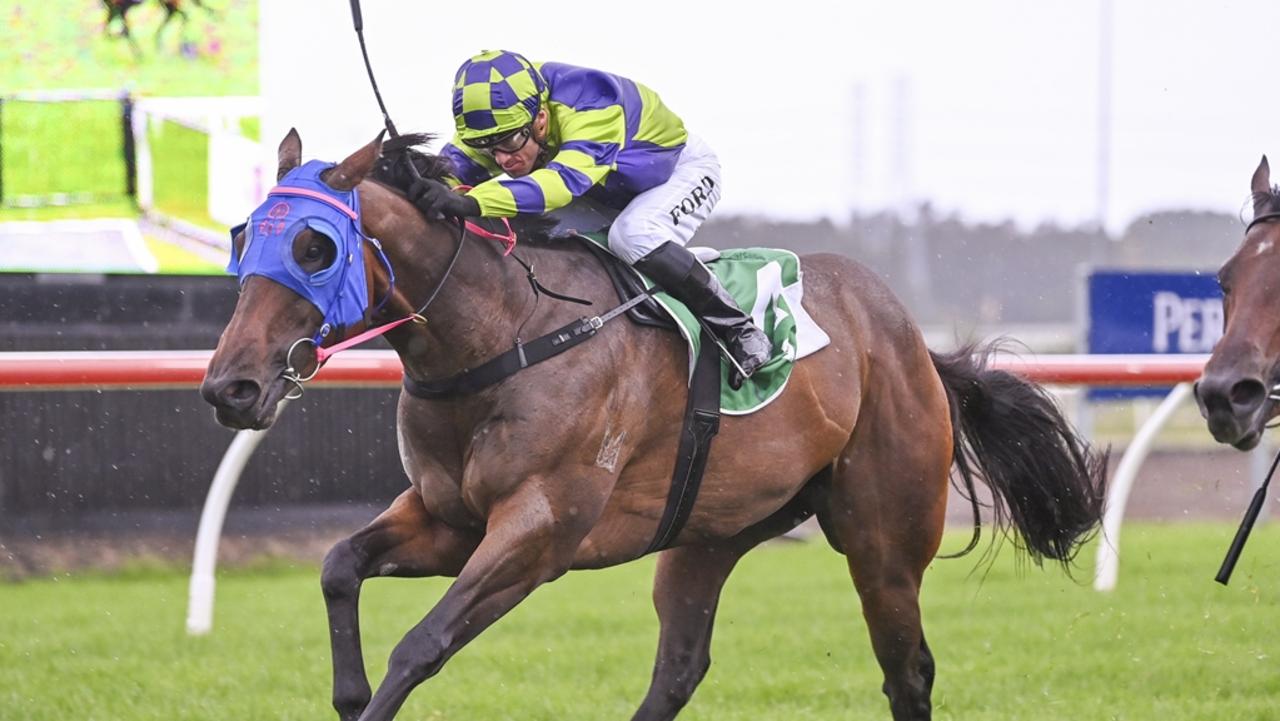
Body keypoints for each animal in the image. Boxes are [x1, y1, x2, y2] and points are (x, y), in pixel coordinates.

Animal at [200, 129, 1108, 721]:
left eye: (315, 247)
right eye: (244, 236)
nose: (231, 387)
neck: (501, 333)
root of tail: (914, 340)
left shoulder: (541, 531)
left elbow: (422, 643)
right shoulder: (448, 518)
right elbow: (338, 566)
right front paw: (346, 690)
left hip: (883, 534)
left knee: (907, 670)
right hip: (711, 532)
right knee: (679, 666)